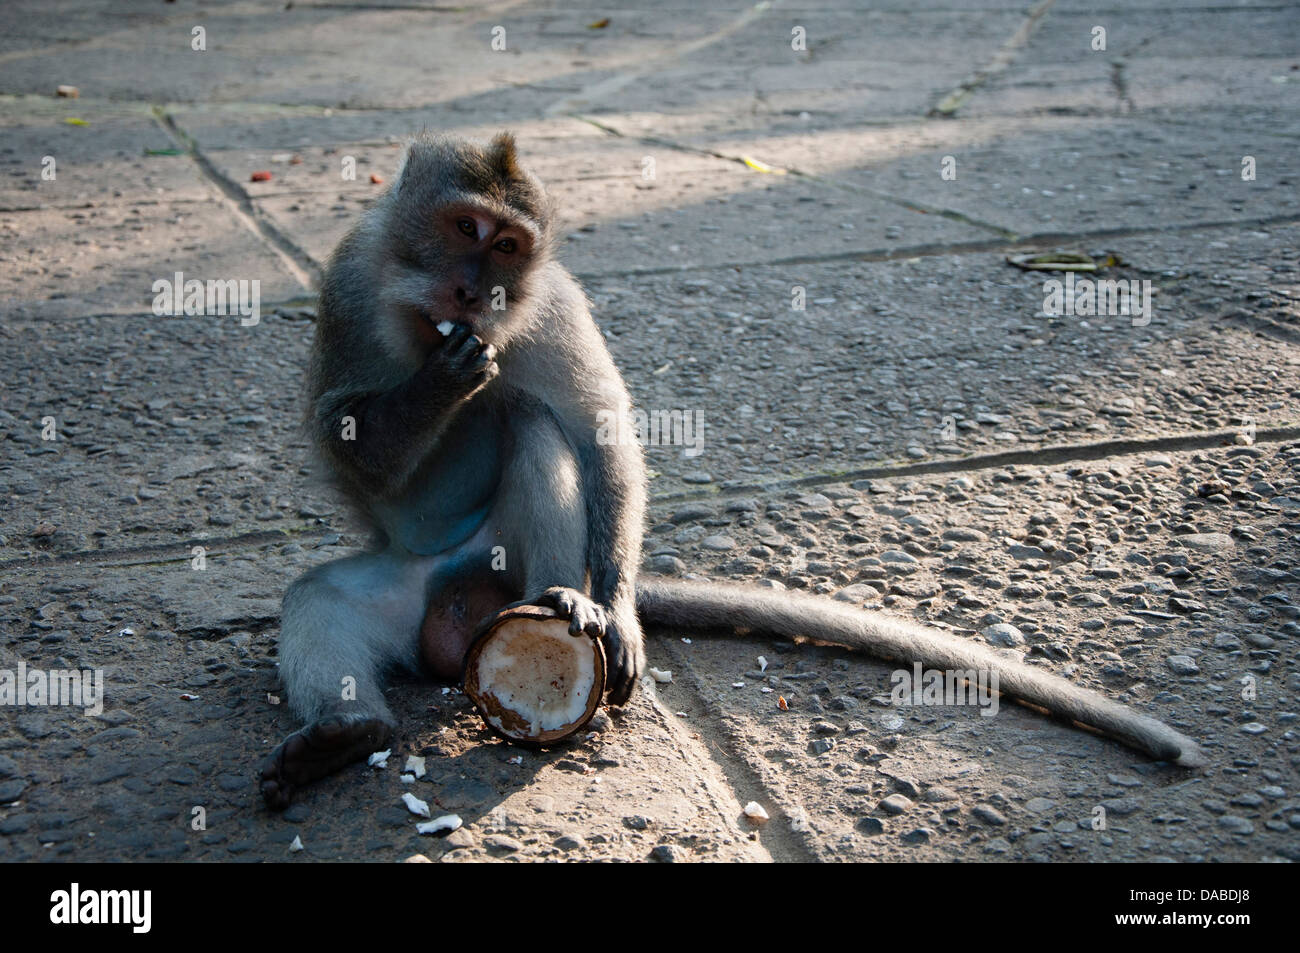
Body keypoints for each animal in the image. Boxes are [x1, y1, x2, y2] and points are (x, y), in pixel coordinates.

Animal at [259, 133, 1202, 810]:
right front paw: (441, 379)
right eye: (463, 228)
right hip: (412, 585)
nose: (471, 292)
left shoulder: (551, 301)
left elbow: (602, 436)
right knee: (321, 599)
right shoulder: (349, 277)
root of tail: (461, 602)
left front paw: (620, 614)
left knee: (535, 427)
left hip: (500, 558)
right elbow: (344, 427)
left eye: (509, 246)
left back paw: (569, 601)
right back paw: (347, 729)